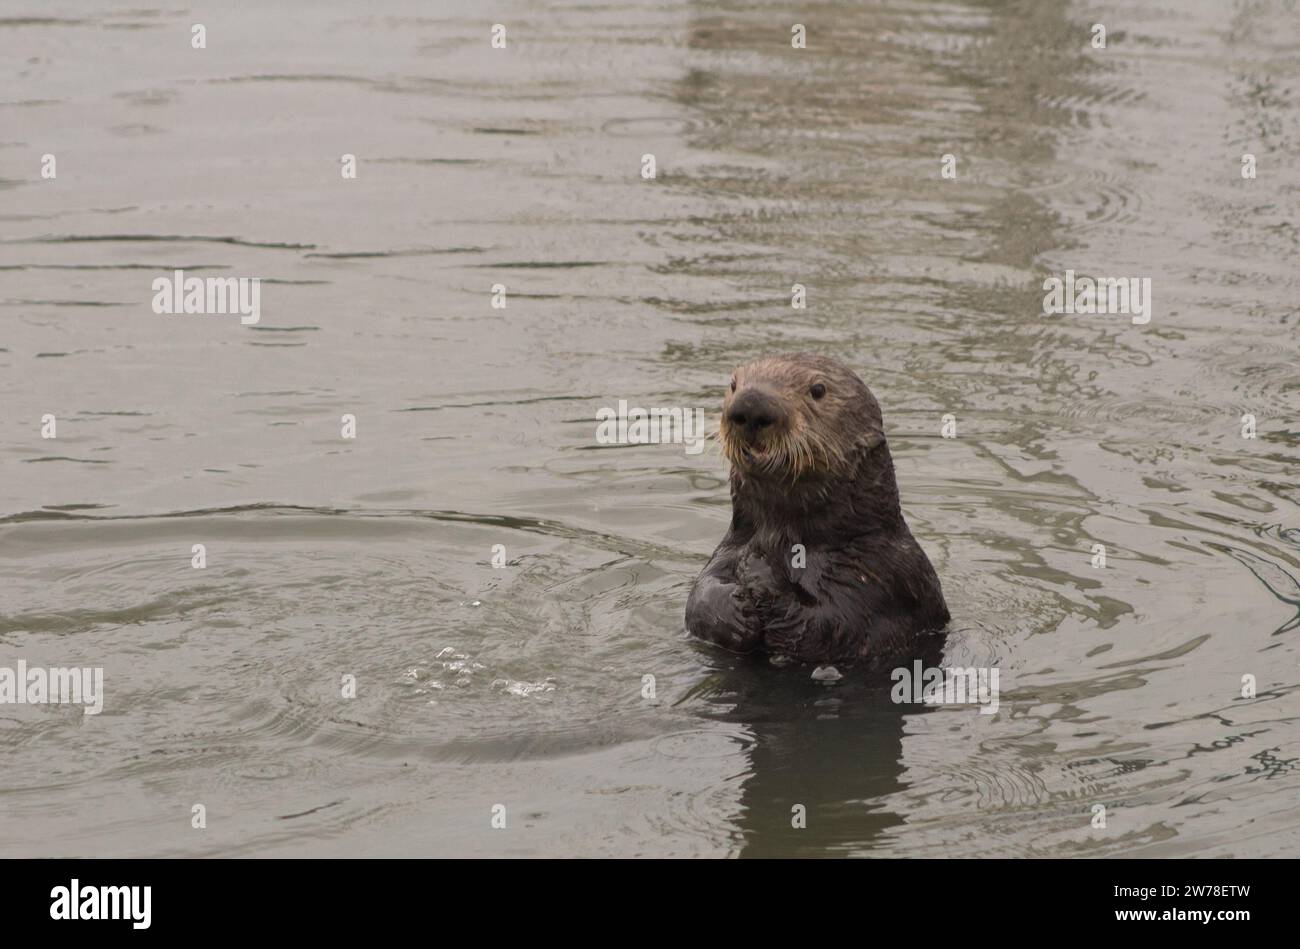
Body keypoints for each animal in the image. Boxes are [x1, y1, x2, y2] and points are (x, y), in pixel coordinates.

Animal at [686, 353, 949, 664]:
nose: (751, 405)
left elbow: (826, 627)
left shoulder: (887, 577)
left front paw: (759, 569)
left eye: (818, 389)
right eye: (733, 384)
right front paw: (730, 610)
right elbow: (699, 596)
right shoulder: (726, 551)